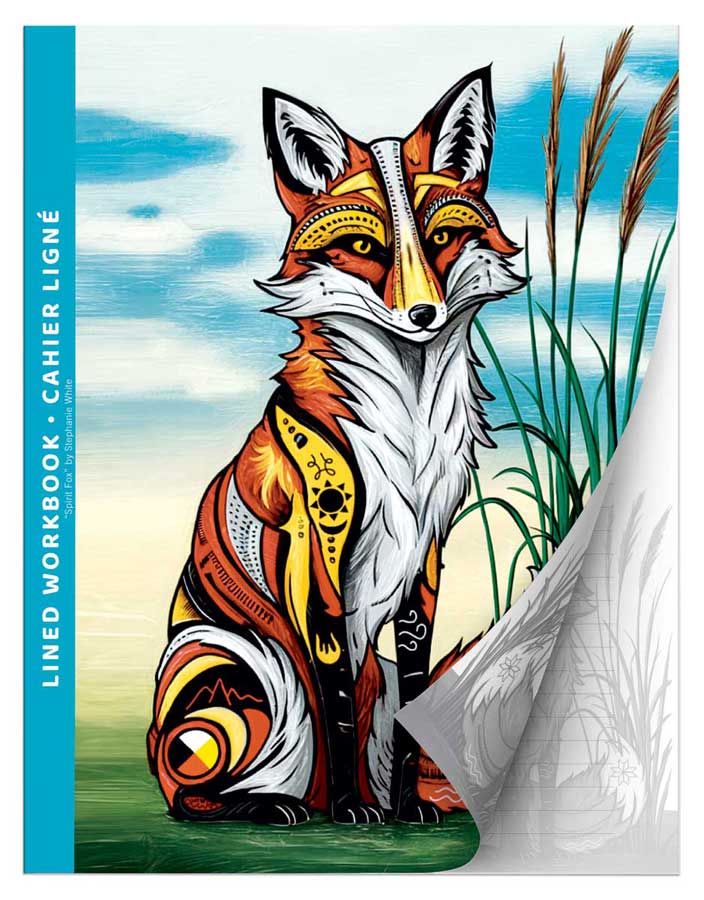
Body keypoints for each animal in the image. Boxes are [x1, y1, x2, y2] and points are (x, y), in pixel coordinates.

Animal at [147, 65, 525, 827]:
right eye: (366, 249)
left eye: (444, 238)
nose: (423, 314)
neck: (407, 426)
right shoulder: (316, 562)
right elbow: (337, 698)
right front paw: (352, 812)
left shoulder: (425, 559)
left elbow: (415, 693)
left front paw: (404, 809)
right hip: (232, 671)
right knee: (194, 793)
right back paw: (275, 805)